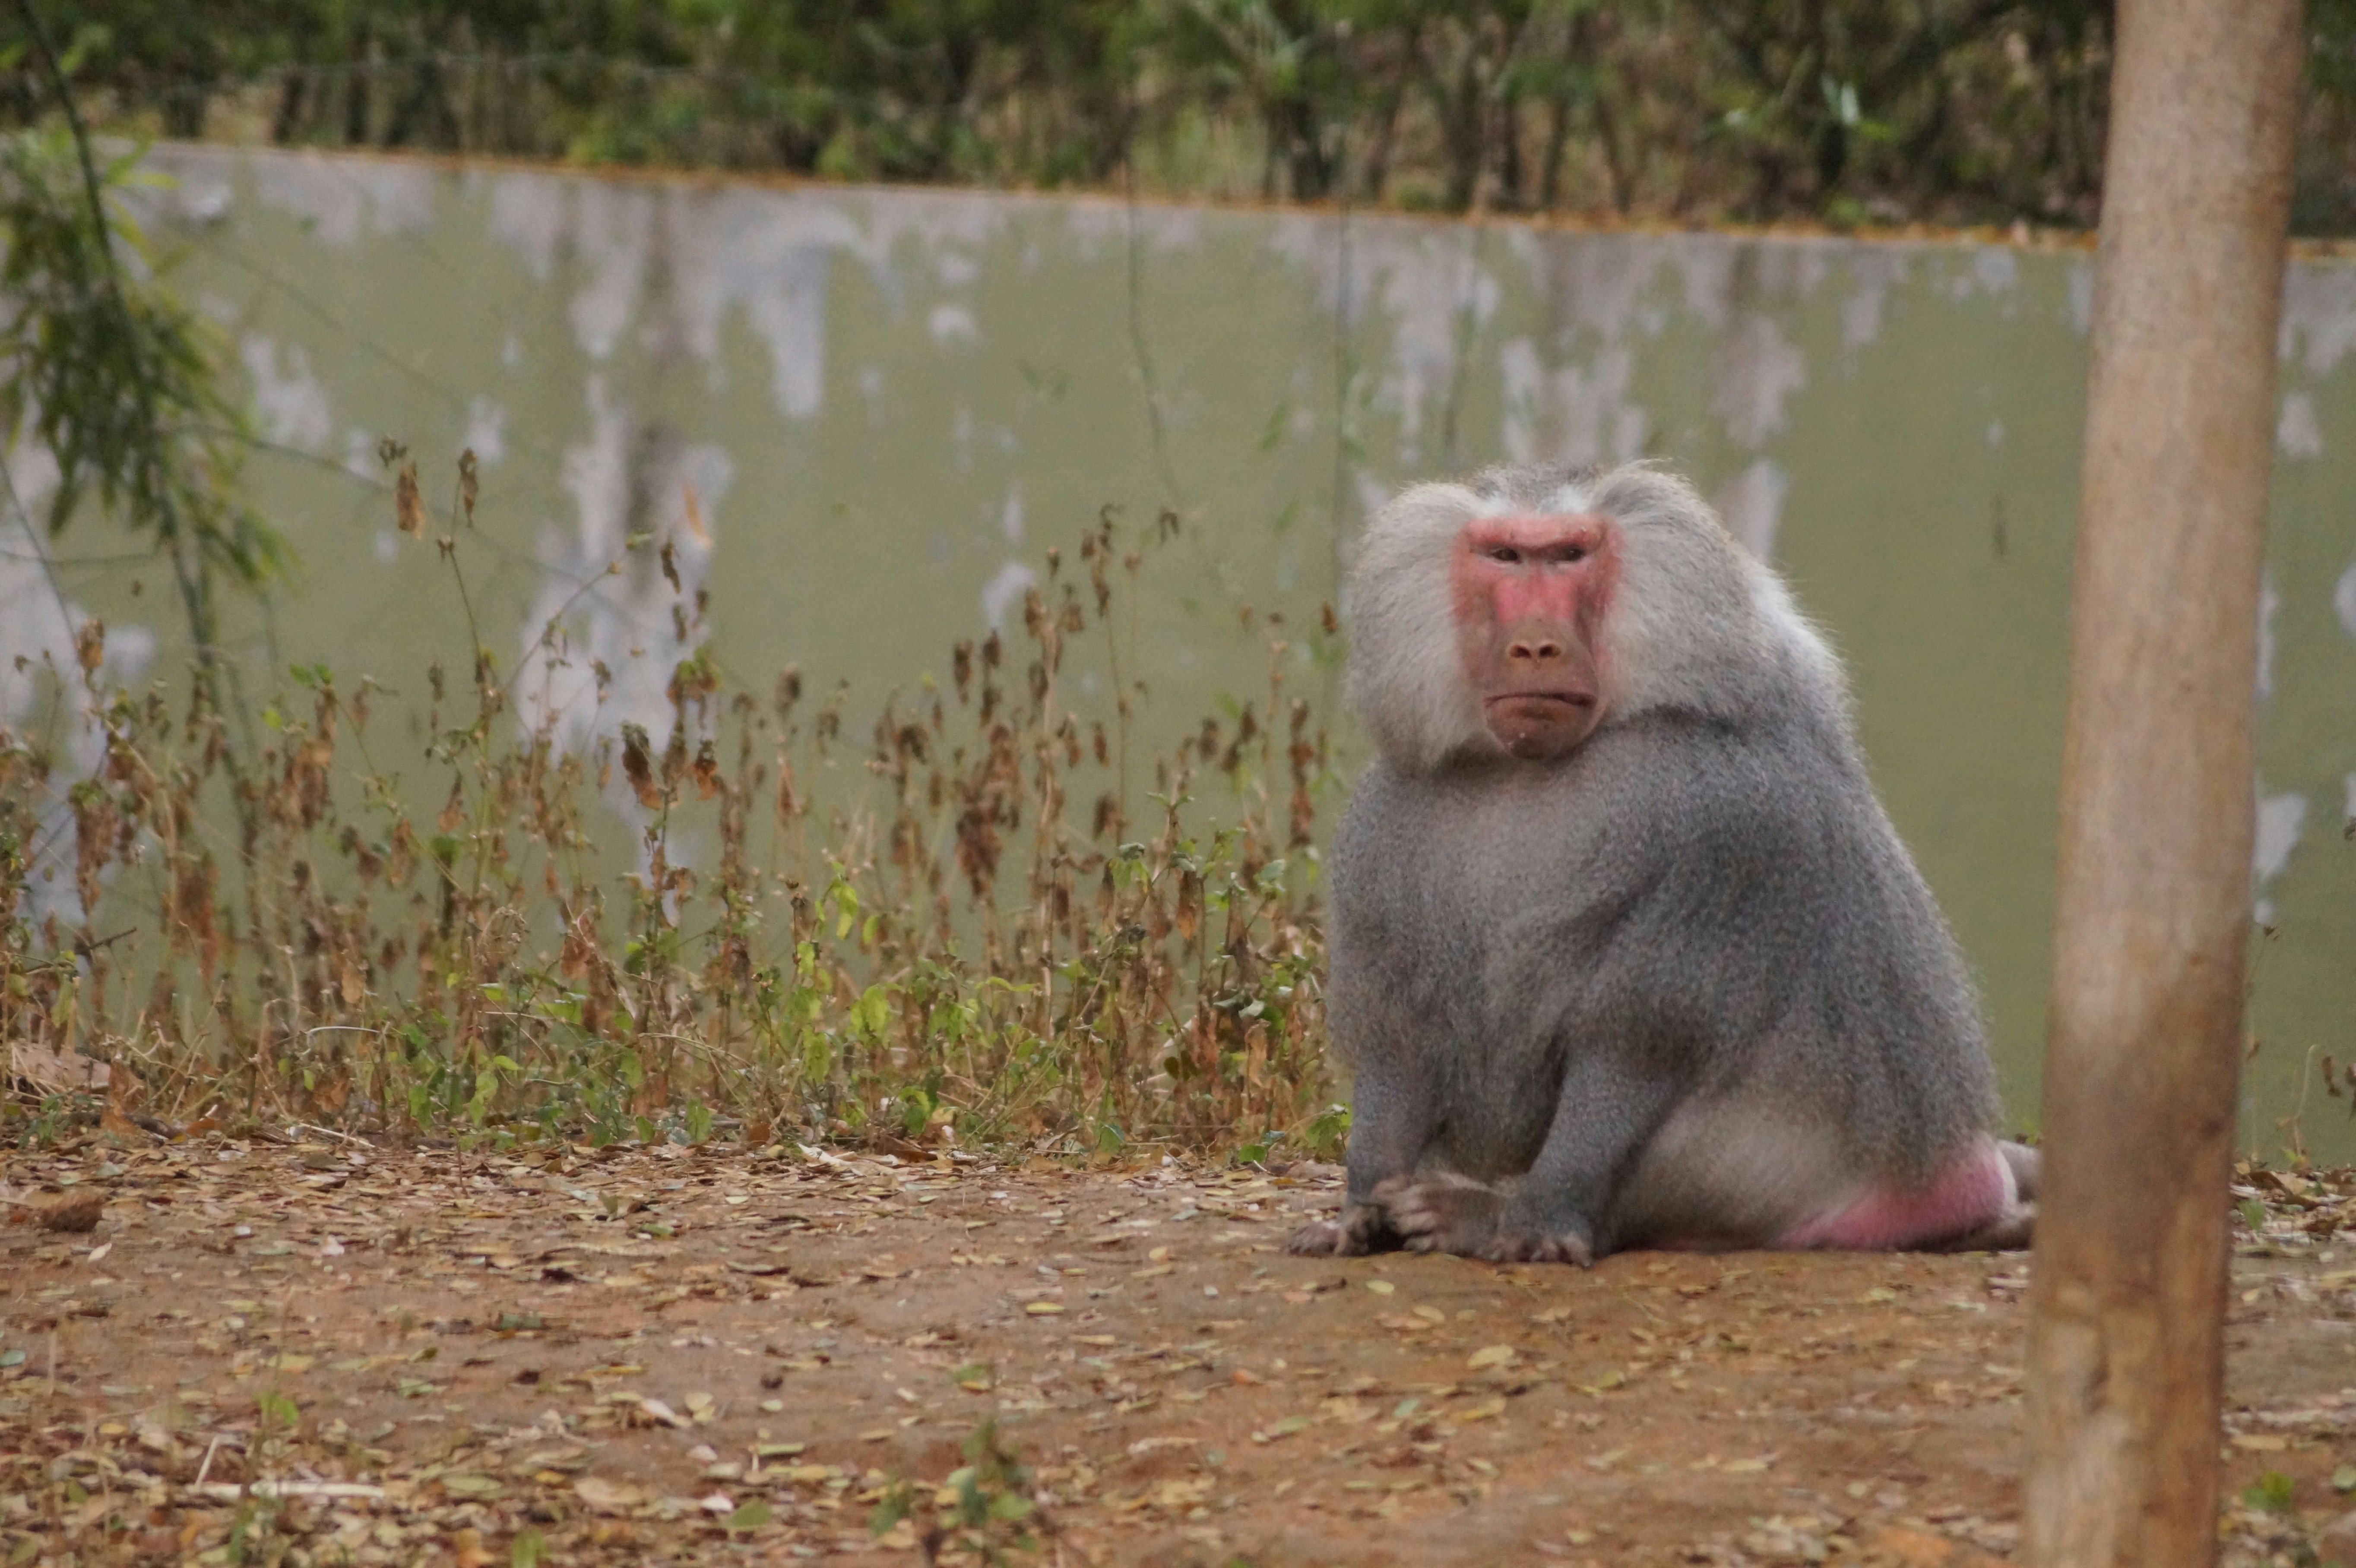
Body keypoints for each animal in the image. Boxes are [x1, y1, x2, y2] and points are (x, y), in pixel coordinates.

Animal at [1288, 460, 2037, 1265]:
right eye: (1505, 557)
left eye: (1570, 556)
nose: (1534, 648)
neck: (1531, 766)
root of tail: (1972, 1174)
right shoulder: (1391, 822)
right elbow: (1401, 1035)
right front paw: (1359, 1210)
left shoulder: (1703, 820)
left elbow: (1635, 1038)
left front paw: (1536, 1222)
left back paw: (1472, 1213)